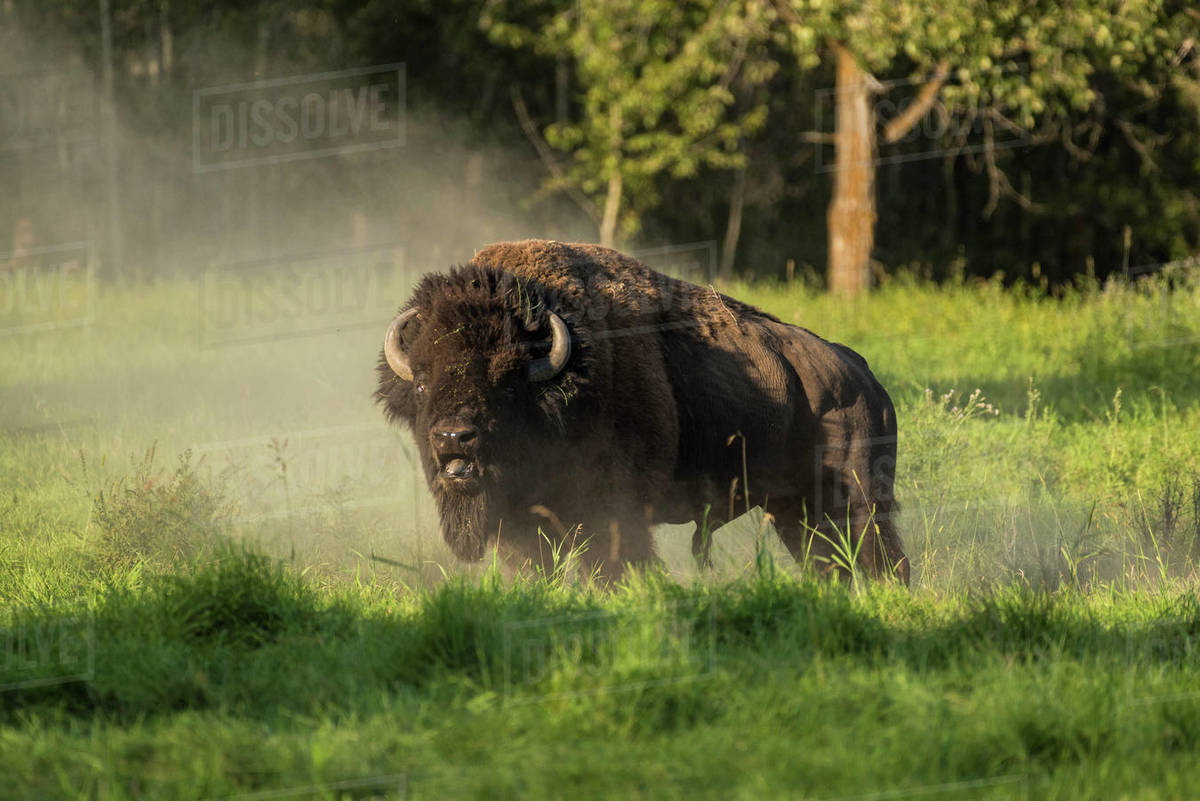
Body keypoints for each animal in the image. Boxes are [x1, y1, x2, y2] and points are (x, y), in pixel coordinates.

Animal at [375, 240, 908, 583]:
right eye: (421, 382)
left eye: (507, 381)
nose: (453, 438)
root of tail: (864, 375)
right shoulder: (523, 523)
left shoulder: (611, 514)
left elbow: (613, 566)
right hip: (792, 508)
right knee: (826, 560)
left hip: (857, 498)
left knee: (879, 555)